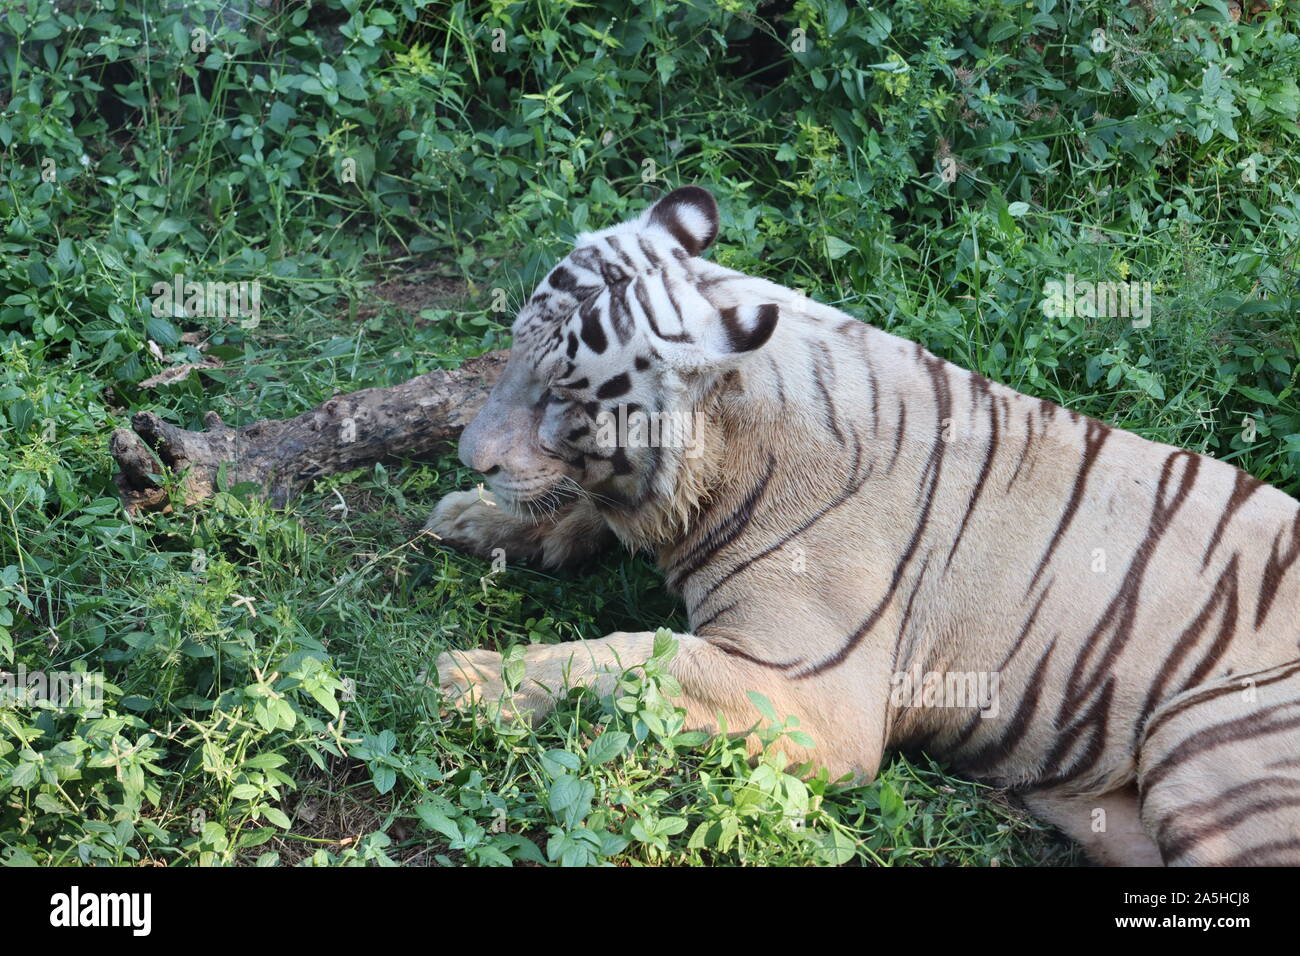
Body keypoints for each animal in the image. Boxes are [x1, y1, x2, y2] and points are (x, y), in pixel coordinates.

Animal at [428, 185, 1300, 866]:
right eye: (512, 350)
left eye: (561, 397)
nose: (472, 458)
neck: (724, 450)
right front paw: (474, 517)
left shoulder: (812, 688)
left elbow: (632, 658)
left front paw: (470, 678)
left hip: (1206, 736)